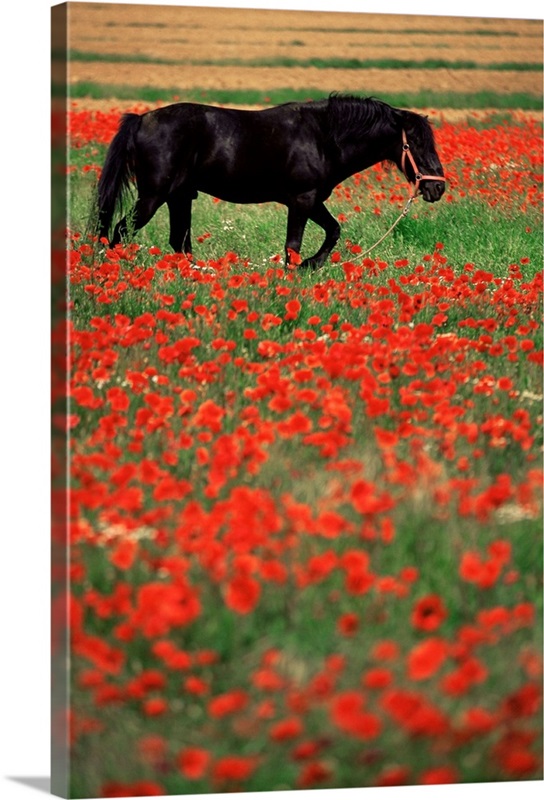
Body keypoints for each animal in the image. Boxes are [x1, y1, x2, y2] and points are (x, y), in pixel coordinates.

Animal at [97, 93, 446, 269]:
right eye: (415, 144)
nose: (438, 186)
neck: (323, 136)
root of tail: (141, 119)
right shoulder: (302, 200)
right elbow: (292, 246)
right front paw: (296, 270)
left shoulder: (312, 200)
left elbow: (333, 231)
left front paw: (311, 265)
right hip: (153, 196)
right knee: (120, 231)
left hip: (179, 196)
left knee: (179, 243)